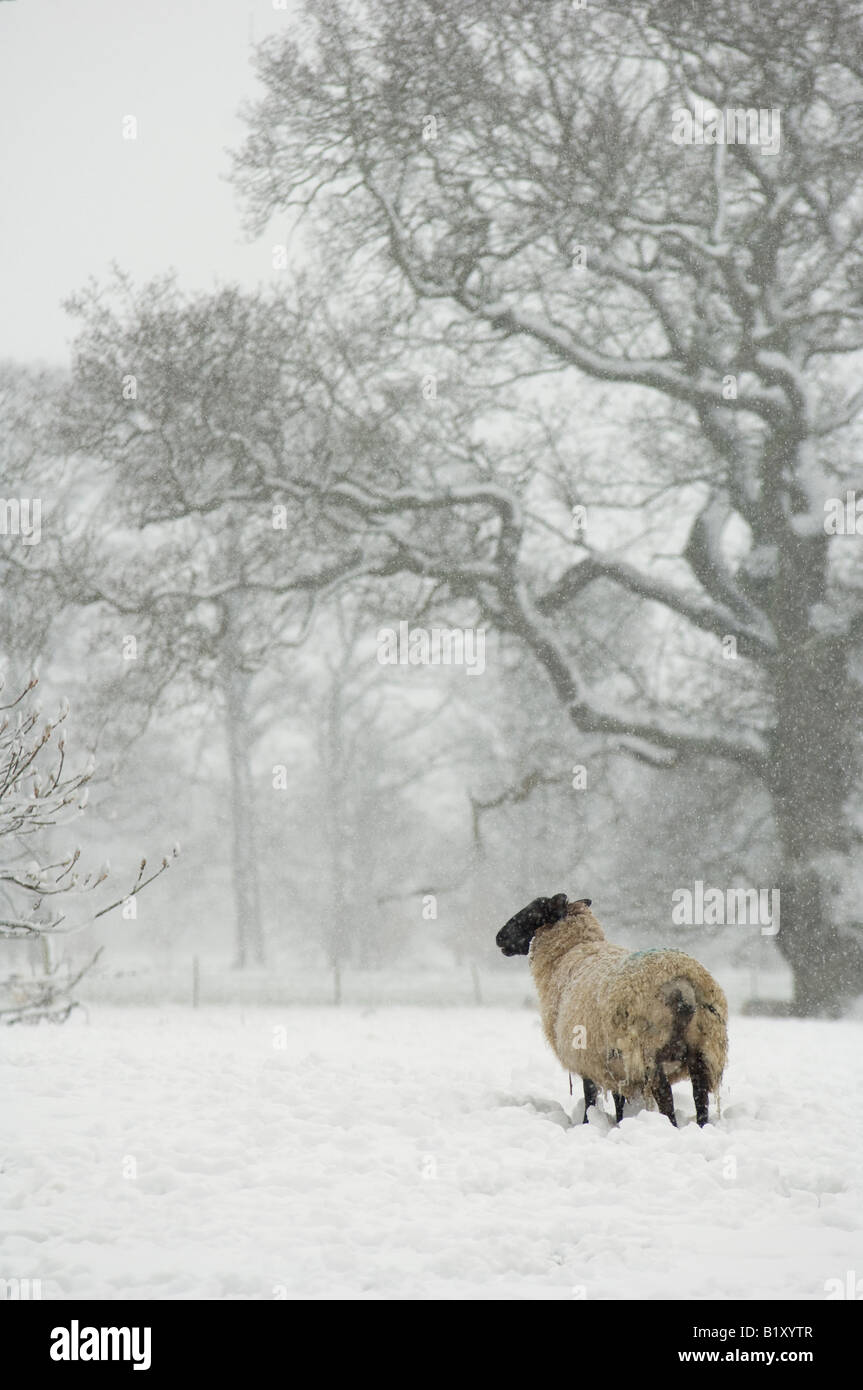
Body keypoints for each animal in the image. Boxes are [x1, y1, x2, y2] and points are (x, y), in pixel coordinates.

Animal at [496, 895, 727, 1127]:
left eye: (533, 910)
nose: (499, 938)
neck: (572, 952)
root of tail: (683, 984)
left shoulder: (587, 1055)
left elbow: (590, 1096)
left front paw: (587, 1123)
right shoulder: (613, 1063)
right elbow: (618, 1098)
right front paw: (619, 1122)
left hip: (649, 1054)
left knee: (666, 1098)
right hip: (703, 1051)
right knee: (700, 1098)